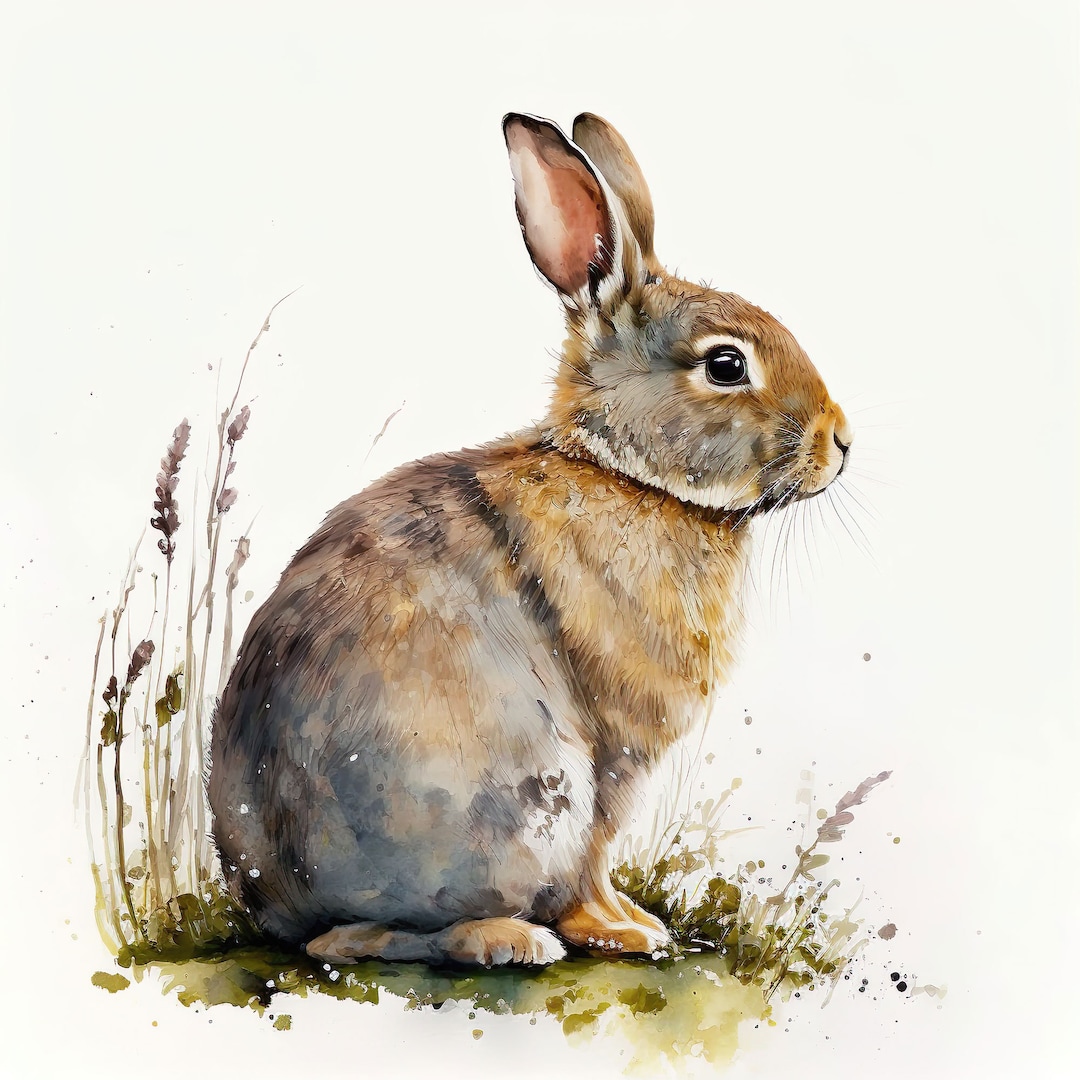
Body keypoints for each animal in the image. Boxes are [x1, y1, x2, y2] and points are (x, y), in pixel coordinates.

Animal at [208, 112, 852, 968]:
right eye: (725, 364)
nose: (841, 442)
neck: (628, 476)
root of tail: (270, 895)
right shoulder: (613, 757)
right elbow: (594, 859)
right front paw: (624, 931)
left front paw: (636, 922)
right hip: (514, 798)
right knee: (356, 940)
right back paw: (511, 939)